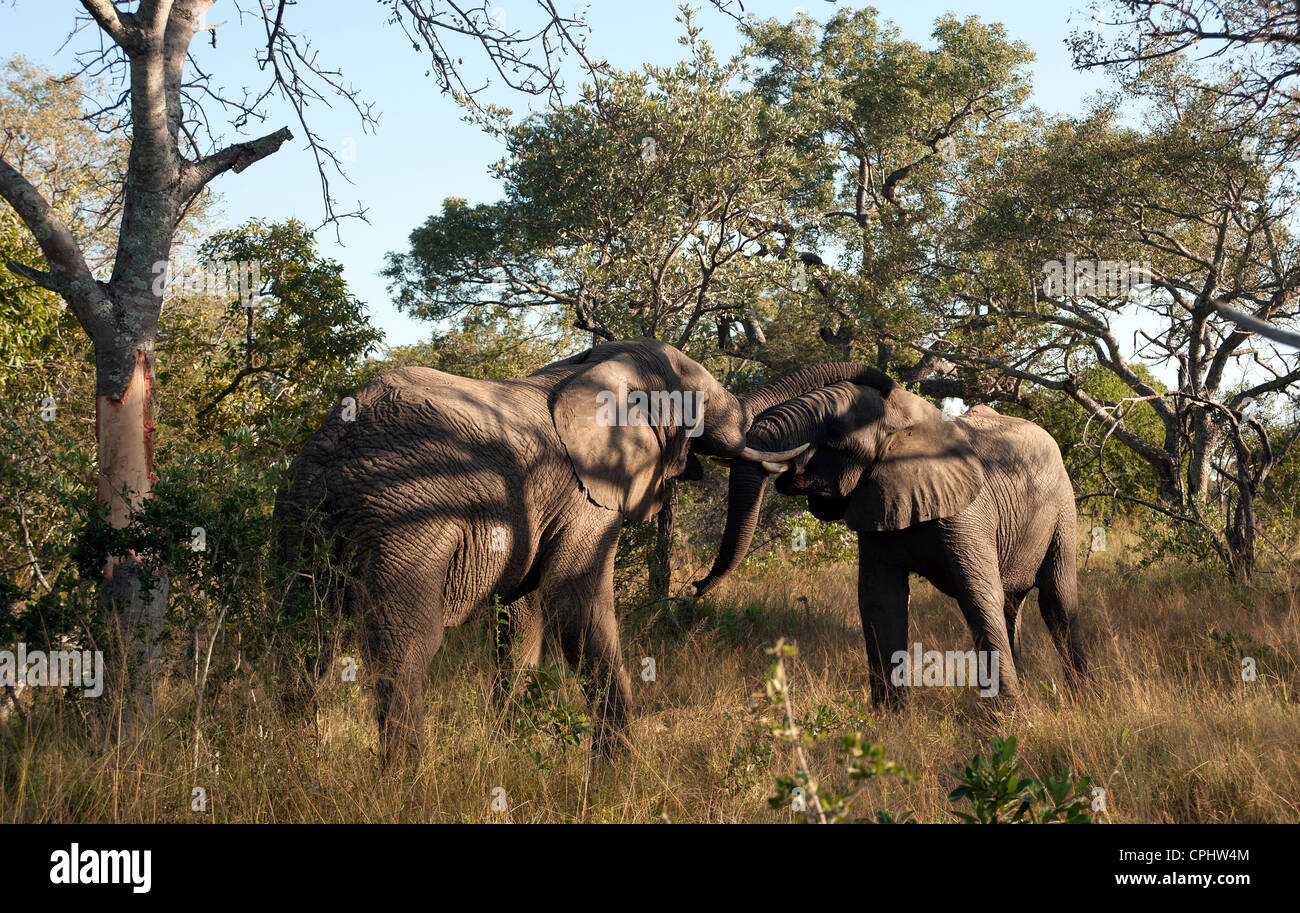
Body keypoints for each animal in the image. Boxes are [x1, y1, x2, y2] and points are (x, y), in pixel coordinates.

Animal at [273, 337, 806, 759]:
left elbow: (522, 619)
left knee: (299, 640)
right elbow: (575, 606)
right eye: (698, 396)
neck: (593, 365)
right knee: (404, 646)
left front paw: (509, 751)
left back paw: (295, 769)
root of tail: (332, 450)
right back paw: (405, 782)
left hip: (297, 516)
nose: (696, 586)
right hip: (404, 518)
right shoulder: (587, 497)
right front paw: (621, 770)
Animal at [693, 363, 1088, 707]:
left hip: (1062, 510)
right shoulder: (875, 501)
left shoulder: (968, 511)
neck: (910, 422)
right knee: (1011, 607)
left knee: (1057, 601)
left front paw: (1011, 720)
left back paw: (1084, 697)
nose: (696, 586)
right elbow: (881, 602)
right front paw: (890, 723)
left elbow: (977, 596)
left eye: (834, 437)